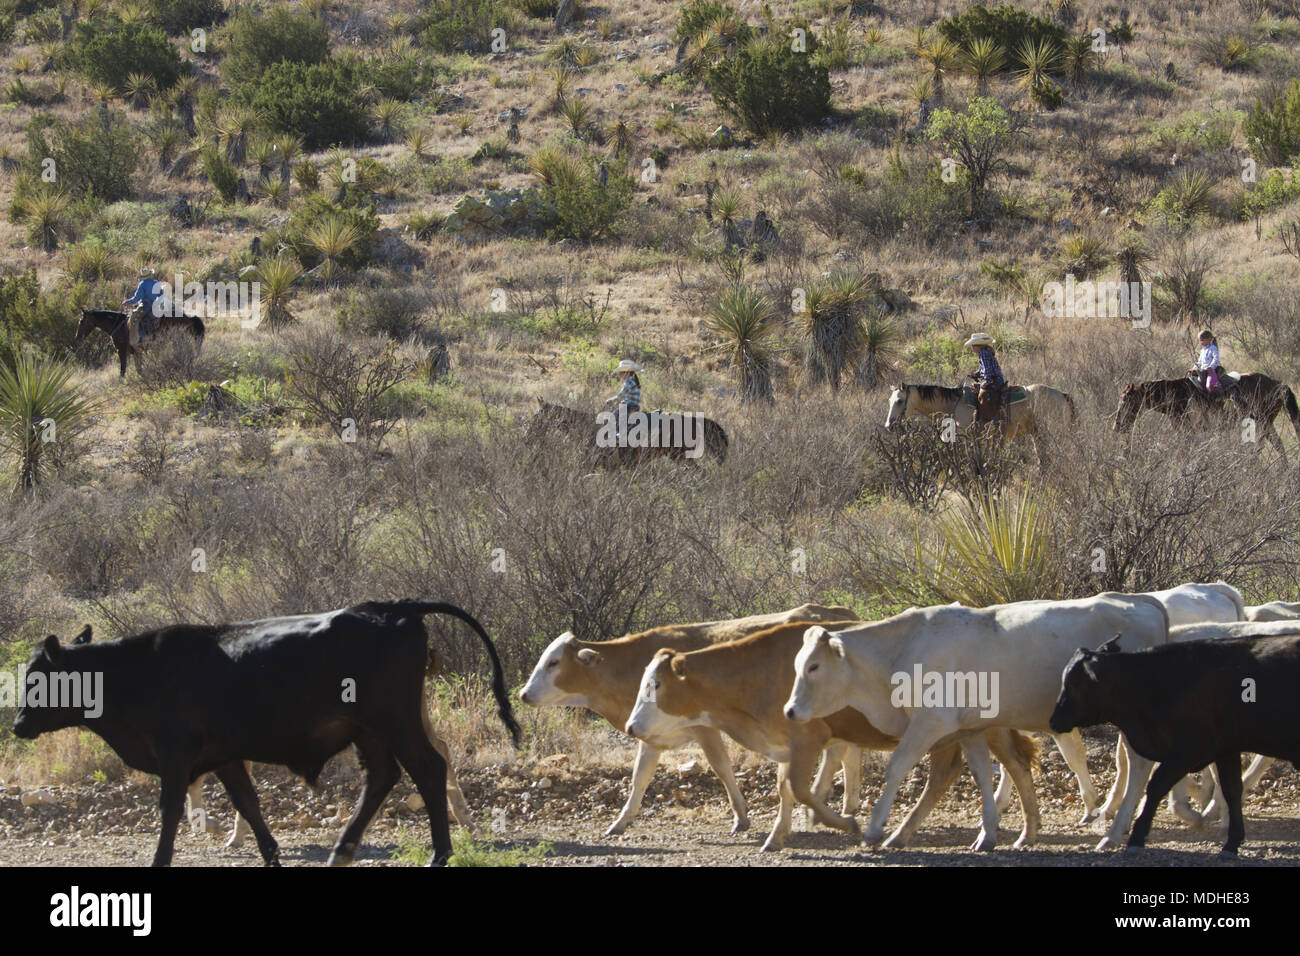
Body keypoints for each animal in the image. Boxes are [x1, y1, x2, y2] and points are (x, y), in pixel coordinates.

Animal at [12, 600, 519, 867]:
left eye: (38, 678)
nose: (17, 724)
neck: (136, 671)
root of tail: (396, 608)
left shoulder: (175, 756)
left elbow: (170, 809)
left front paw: (160, 859)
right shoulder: (224, 757)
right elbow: (248, 803)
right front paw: (270, 853)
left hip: (394, 722)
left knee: (428, 769)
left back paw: (439, 853)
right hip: (369, 731)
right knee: (382, 778)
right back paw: (342, 850)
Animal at [519, 603, 861, 836]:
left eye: (553, 662)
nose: (523, 693)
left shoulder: (704, 728)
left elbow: (721, 767)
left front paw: (741, 816)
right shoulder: (649, 734)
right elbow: (639, 777)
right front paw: (619, 822)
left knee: (840, 753)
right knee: (848, 754)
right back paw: (847, 805)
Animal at [626, 621, 1042, 852]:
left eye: (656, 684)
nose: (630, 727)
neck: (759, 674)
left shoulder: (807, 738)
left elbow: (800, 788)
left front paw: (845, 823)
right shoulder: (786, 743)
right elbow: (785, 789)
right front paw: (776, 836)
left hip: (966, 727)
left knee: (978, 769)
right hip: (970, 730)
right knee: (990, 767)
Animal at [784, 592, 1170, 850]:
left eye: (814, 666)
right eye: (797, 664)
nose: (789, 711)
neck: (904, 649)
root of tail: (1140, 601)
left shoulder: (930, 723)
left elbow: (897, 767)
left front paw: (876, 828)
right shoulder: (970, 729)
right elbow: (983, 773)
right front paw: (988, 833)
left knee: (1138, 765)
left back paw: (1114, 832)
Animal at [1049, 631, 1300, 856]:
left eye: (1074, 684)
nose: (1054, 721)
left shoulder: (1188, 752)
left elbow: (1156, 787)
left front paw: (1137, 838)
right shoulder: (1226, 750)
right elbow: (1231, 790)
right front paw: (1231, 843)